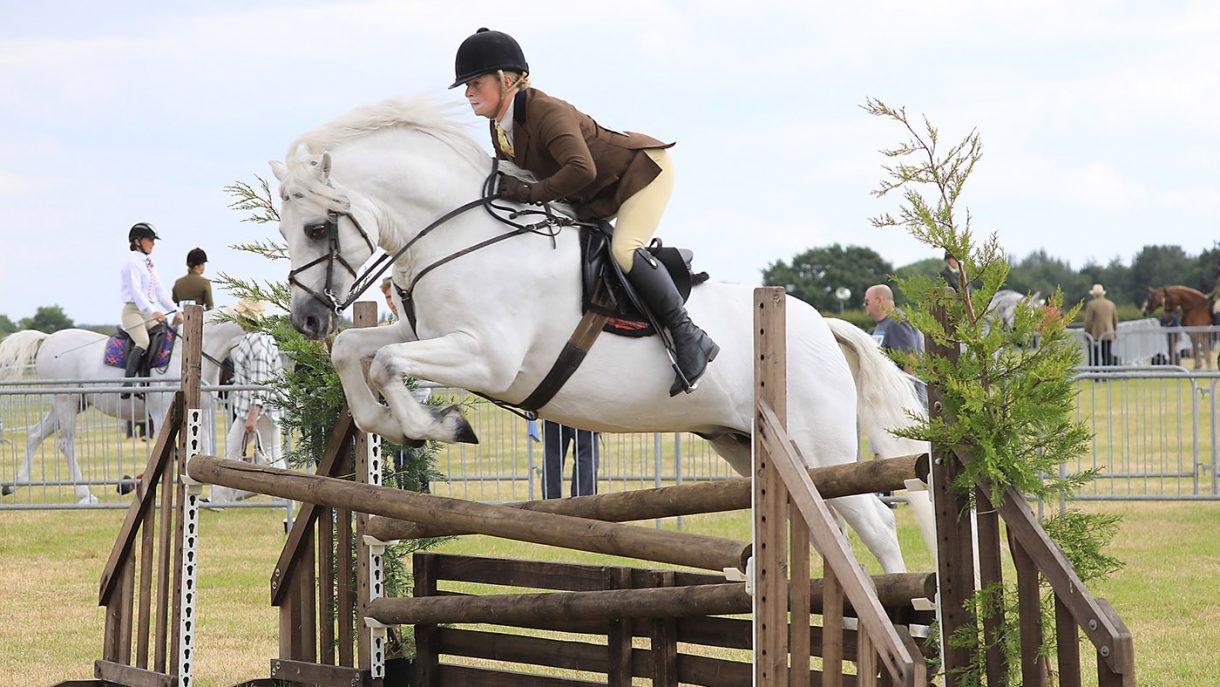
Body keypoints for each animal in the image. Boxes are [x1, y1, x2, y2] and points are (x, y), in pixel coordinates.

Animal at [0, 313, 245, 503]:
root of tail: (47, 338)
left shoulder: (201, 411)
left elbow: (205, 450)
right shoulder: (162, 414)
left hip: (74, 403)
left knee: (35, 434)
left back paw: (16, 483)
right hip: (65, 400)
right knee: (65, 444)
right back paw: (84, 493)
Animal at [269, 97, 928, 573]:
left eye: (316, 228)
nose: (307, 320)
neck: (459, 235)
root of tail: (821, 324)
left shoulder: (489, 358)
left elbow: (388, 364)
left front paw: (440, 425)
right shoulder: (426, 330)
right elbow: (356, 352)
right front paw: (395, 424)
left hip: (816, 446)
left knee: (877, 524)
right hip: (743, 444)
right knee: (833, 527)